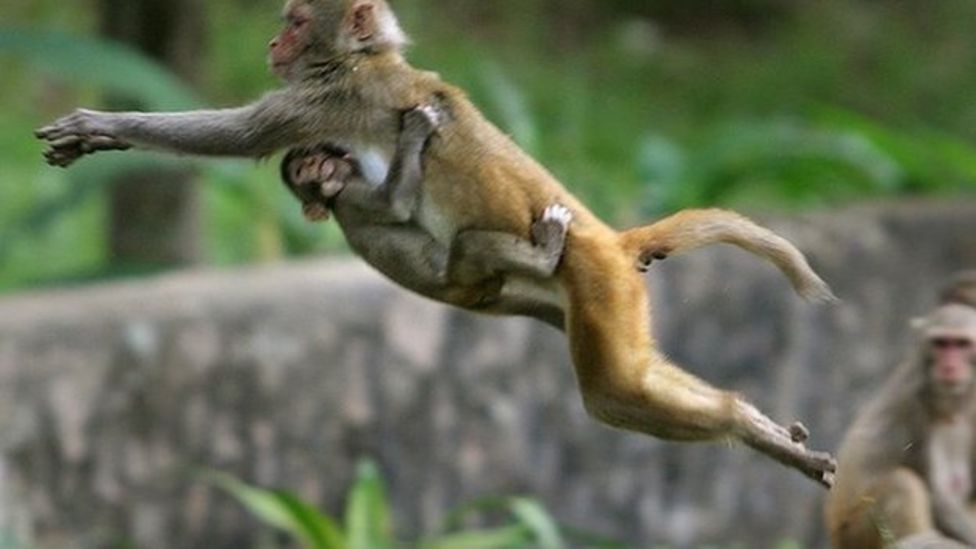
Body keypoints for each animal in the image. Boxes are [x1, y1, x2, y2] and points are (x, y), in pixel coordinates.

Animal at [36, 0, 837, 486]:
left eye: (295, 21)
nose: (270, 41)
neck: (366, 62)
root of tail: (608, 237)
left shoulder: (323, 101)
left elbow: (236, 135)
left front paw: (104, 127)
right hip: (594, 292)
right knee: (627, 370)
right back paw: (756, 425)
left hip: (596, 278)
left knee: (613, 392)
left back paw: (738, 422)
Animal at [825, 304, 976, 548]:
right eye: (941, 343)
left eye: (962, 344)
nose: (949, 366)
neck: (950, 408)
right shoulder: (911, 405)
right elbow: (937, 498)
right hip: (854, 532)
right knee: (902, 484)